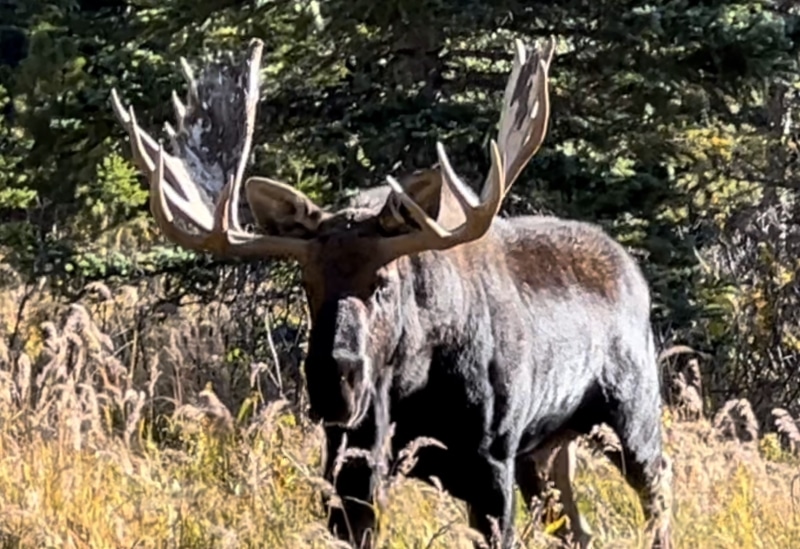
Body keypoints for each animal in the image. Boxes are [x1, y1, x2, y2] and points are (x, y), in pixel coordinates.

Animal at [109, 36, 672, 549]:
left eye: (383, 283)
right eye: (307, 283)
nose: (334, 381)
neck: (410, 389)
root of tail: (631, 270)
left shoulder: (491, 460)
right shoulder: (350, 461)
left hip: (631, 413)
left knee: (658, 491)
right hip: (545, 450)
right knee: (577, 528)